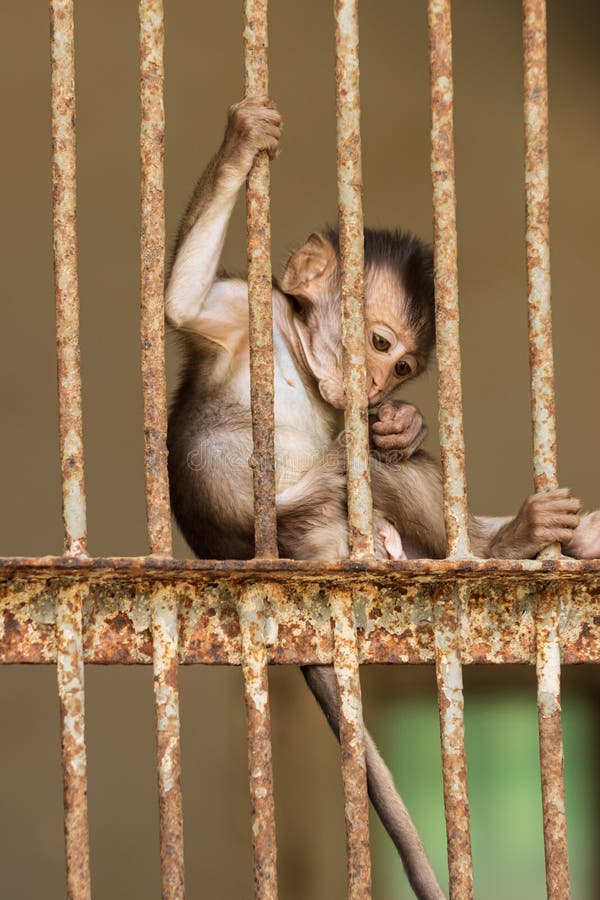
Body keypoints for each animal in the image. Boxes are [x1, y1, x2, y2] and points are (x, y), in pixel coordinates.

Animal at [165, 98, 600, 898]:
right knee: (361, 471)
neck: (292, 345)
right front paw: (243, 141)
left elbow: (388, 439)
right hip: (305, 529)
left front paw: (404, 421)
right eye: (376, 342)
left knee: (391, 477)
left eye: (402, 367)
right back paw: (514, 541)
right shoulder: (238, 310)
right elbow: (182, 304)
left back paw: (529, 540)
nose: (375, 387)